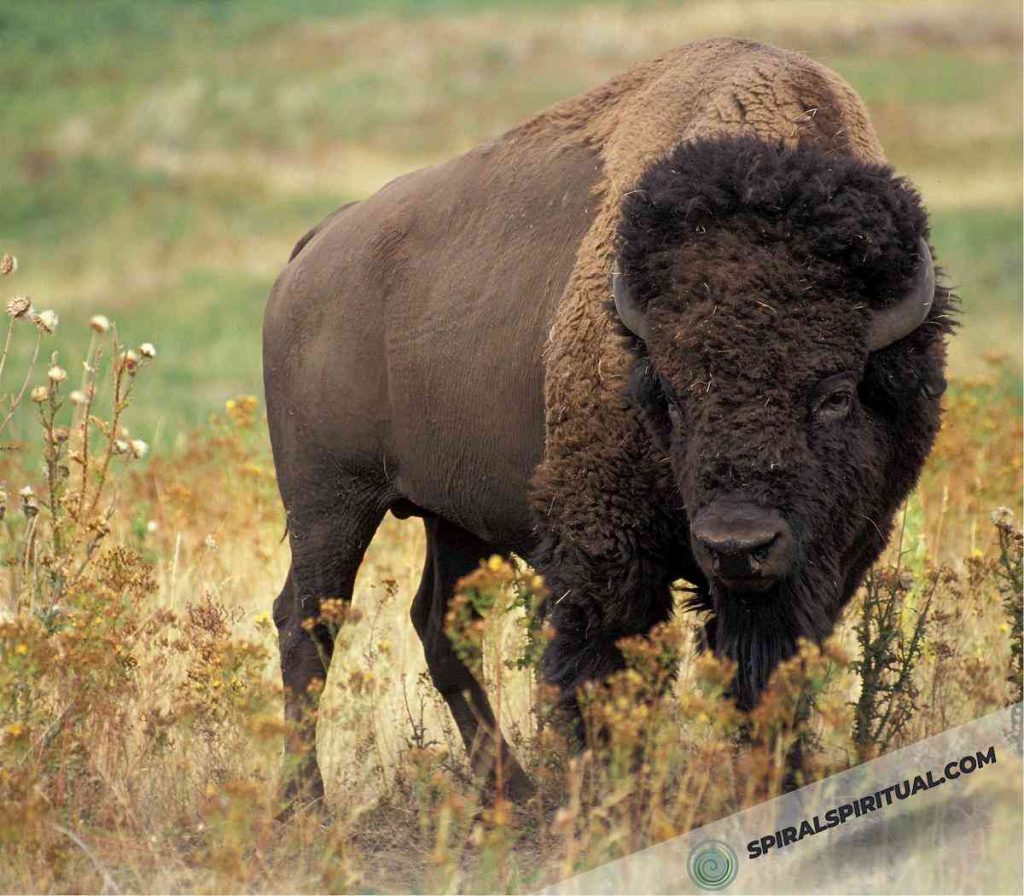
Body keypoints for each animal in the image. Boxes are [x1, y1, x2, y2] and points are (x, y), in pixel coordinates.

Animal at [263, 38, 953, 803]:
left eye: (834, 394)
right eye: (672, 396)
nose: (737, 544)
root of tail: (316, 247)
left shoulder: (828, 556)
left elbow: (770, 673)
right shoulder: (605, 547)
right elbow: (605, 670)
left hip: (452, 517)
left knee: (438, 626)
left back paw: (514, 793)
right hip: (330, 503)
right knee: (307, 623)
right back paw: (307, 803)